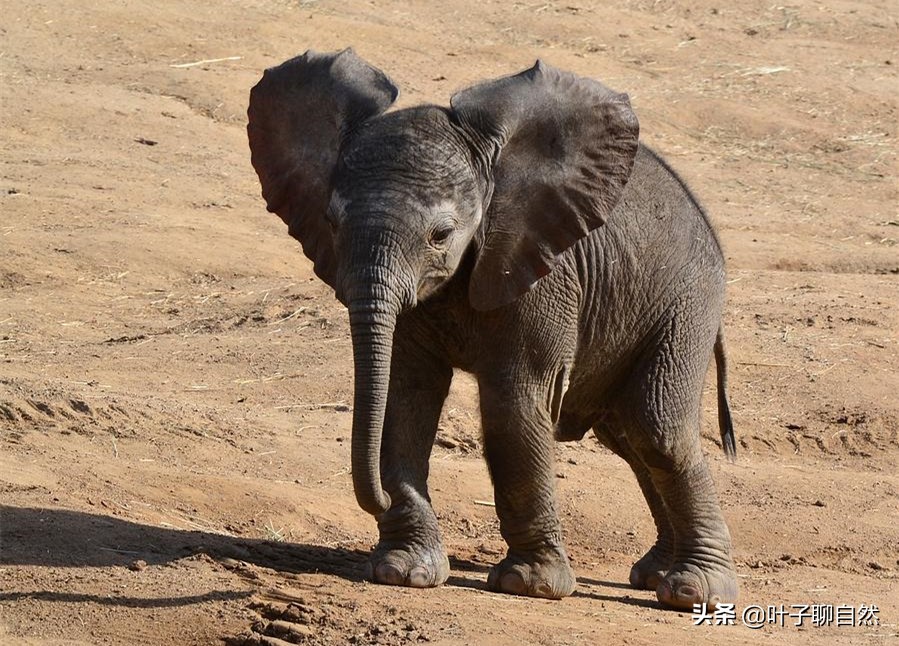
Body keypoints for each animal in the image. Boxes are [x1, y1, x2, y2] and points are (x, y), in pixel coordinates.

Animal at [247, 49, 738, 610]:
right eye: (331, 224)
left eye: (441, 235)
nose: (380, 497)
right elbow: (404, 395)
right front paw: (403, 572)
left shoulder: (540, 270)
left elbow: (513, 406)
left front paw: (529, 586)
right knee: (628, 438)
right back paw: (656, 574)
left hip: (686, 304)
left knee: (657, 429)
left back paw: (692, 592)